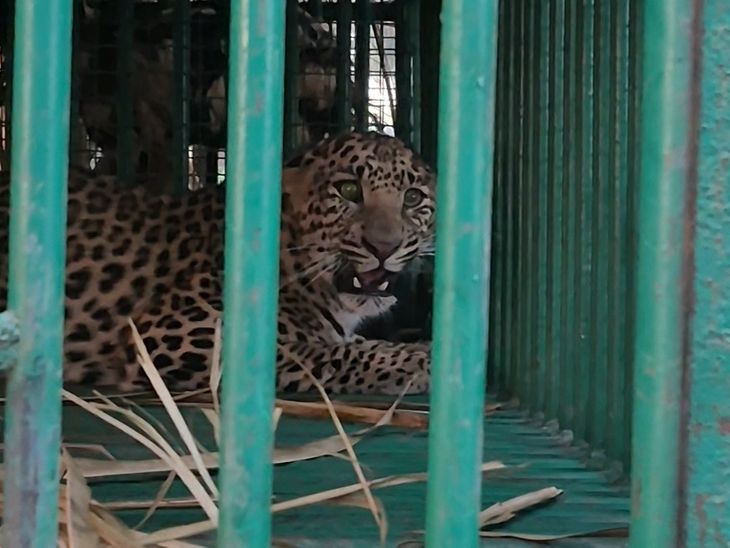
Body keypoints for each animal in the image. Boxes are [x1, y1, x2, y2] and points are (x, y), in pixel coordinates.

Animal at [0, 131, 434, 395]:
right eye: (348, 190)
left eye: (412, 199)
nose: (384, 246)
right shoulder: (168, 332)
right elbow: (312, 352)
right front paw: (418, 361)